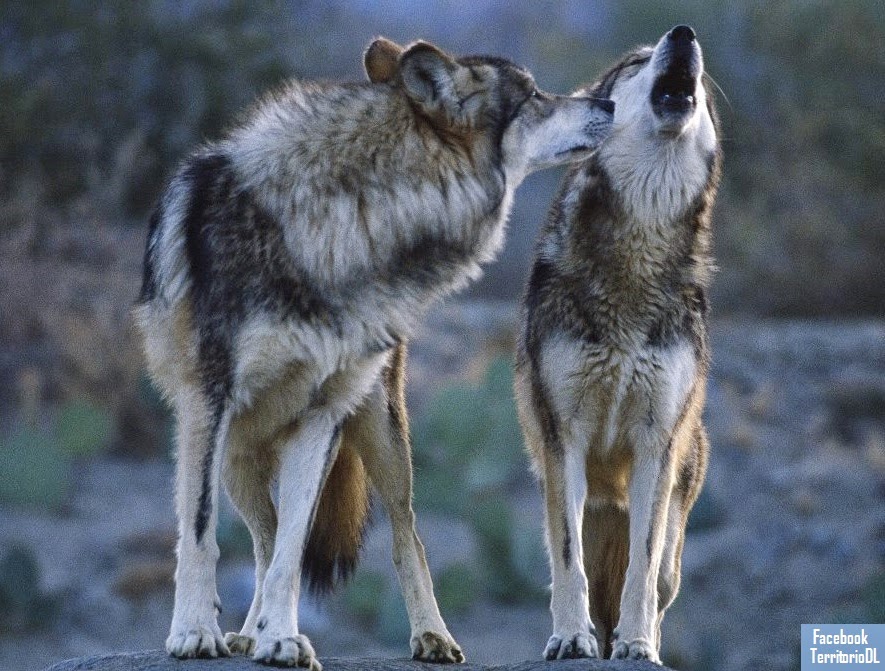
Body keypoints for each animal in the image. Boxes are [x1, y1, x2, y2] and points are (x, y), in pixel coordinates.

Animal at [134, 35, 614, 668]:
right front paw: (195, 631)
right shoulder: (206, 403)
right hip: (236, 452)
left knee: (401, 534)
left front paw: (282, 638)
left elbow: (293, 552)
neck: (353, 217)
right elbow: (201, 532)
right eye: (534, 96)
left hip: (379, 432)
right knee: (259, 537)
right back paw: (244, 632)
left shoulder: (319, 417)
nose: (609, 103)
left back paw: (429, 637)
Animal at [515, 25, 721, 663]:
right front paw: (570, 637)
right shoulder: (564, 436)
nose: (684, 33)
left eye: (703, 80)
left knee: (658, 579)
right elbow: (568, 560)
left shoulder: (658, 441)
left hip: (677, 519)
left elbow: (642, 564)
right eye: (635, 63)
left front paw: (636, 644)